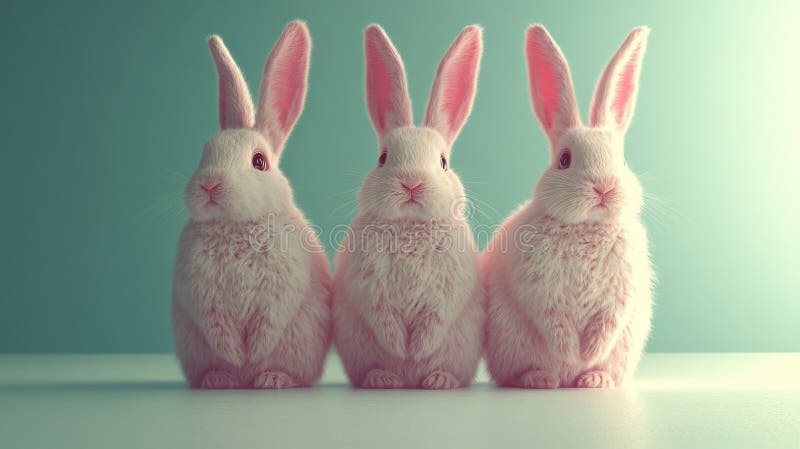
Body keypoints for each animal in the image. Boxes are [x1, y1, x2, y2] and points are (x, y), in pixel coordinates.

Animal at [172, 21, 331, 389]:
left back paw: (272, 379)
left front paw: (253, 356)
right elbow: (217, 326)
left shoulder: (282, 289)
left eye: (259, 162)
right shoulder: (199, 292)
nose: (209, 184)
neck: (237, 224)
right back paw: (222, 379)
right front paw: (234, 357)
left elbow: (269, 324)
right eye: (205, 152)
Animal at [332, 24, 485, 389]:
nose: (412, 183)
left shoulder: (450, 287)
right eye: (383, 158)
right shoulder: (367, 283)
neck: (410, 225)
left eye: (443, 162)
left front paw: (416, 350)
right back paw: (384, 379)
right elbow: (382, 316)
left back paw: (438, 380)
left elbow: (436, 319)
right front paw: (400, 348)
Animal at [482, 25, 654, 389]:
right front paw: (571, 352)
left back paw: (593, 378)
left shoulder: (620, 293)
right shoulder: (538, 287)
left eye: (622, 160)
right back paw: (543, 379)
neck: (587, 225)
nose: (604, 187)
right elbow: (554, 322)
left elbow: (607, 324)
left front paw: (587, 355)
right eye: (564, 159)